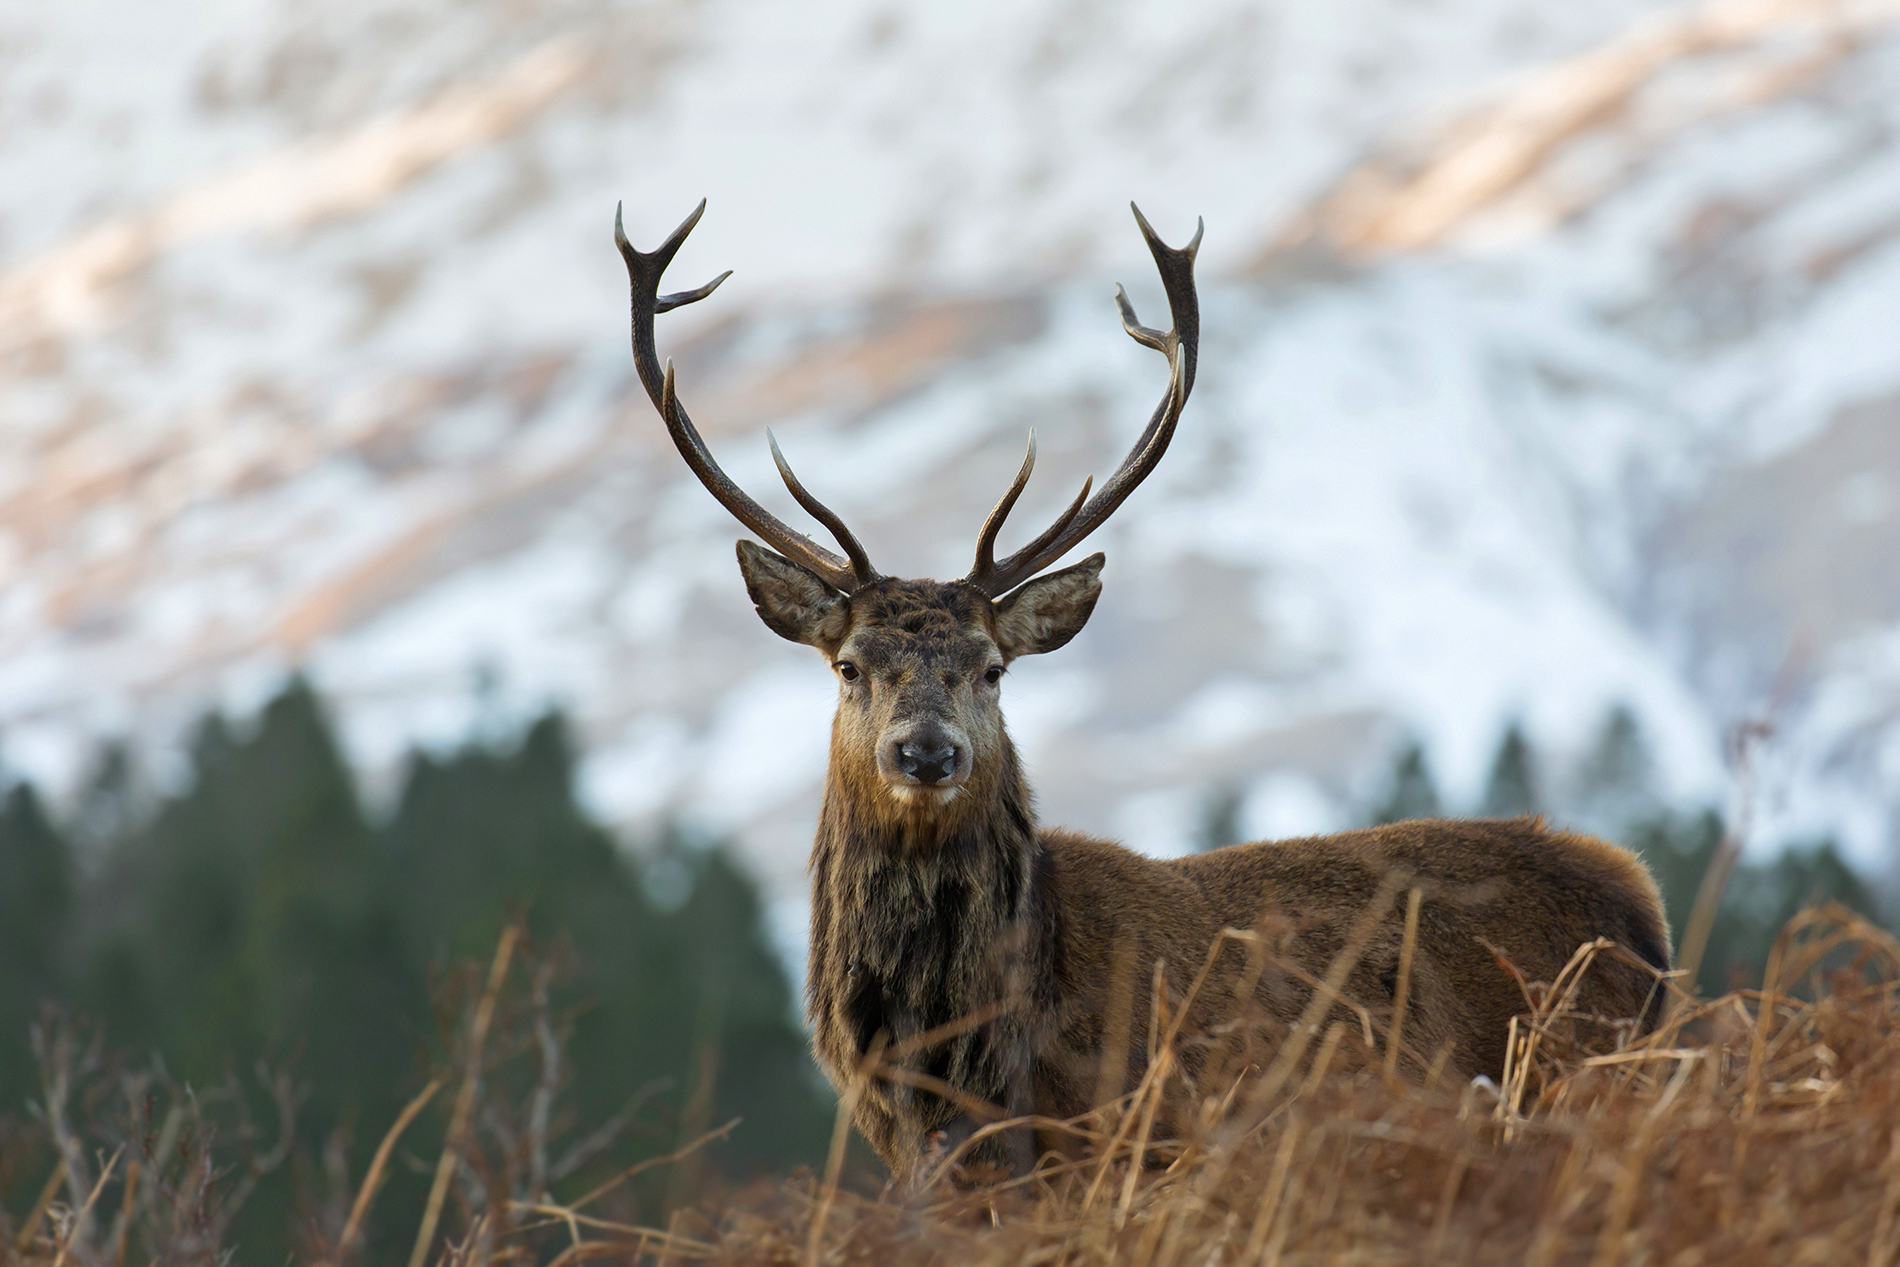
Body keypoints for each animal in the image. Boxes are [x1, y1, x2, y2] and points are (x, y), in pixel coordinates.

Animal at [614, 200, 1672, 1183]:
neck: (961, 1049)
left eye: (993, 668)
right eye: (849, 666)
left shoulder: (1114, 1137)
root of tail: (1642, 911)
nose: (926, 751)